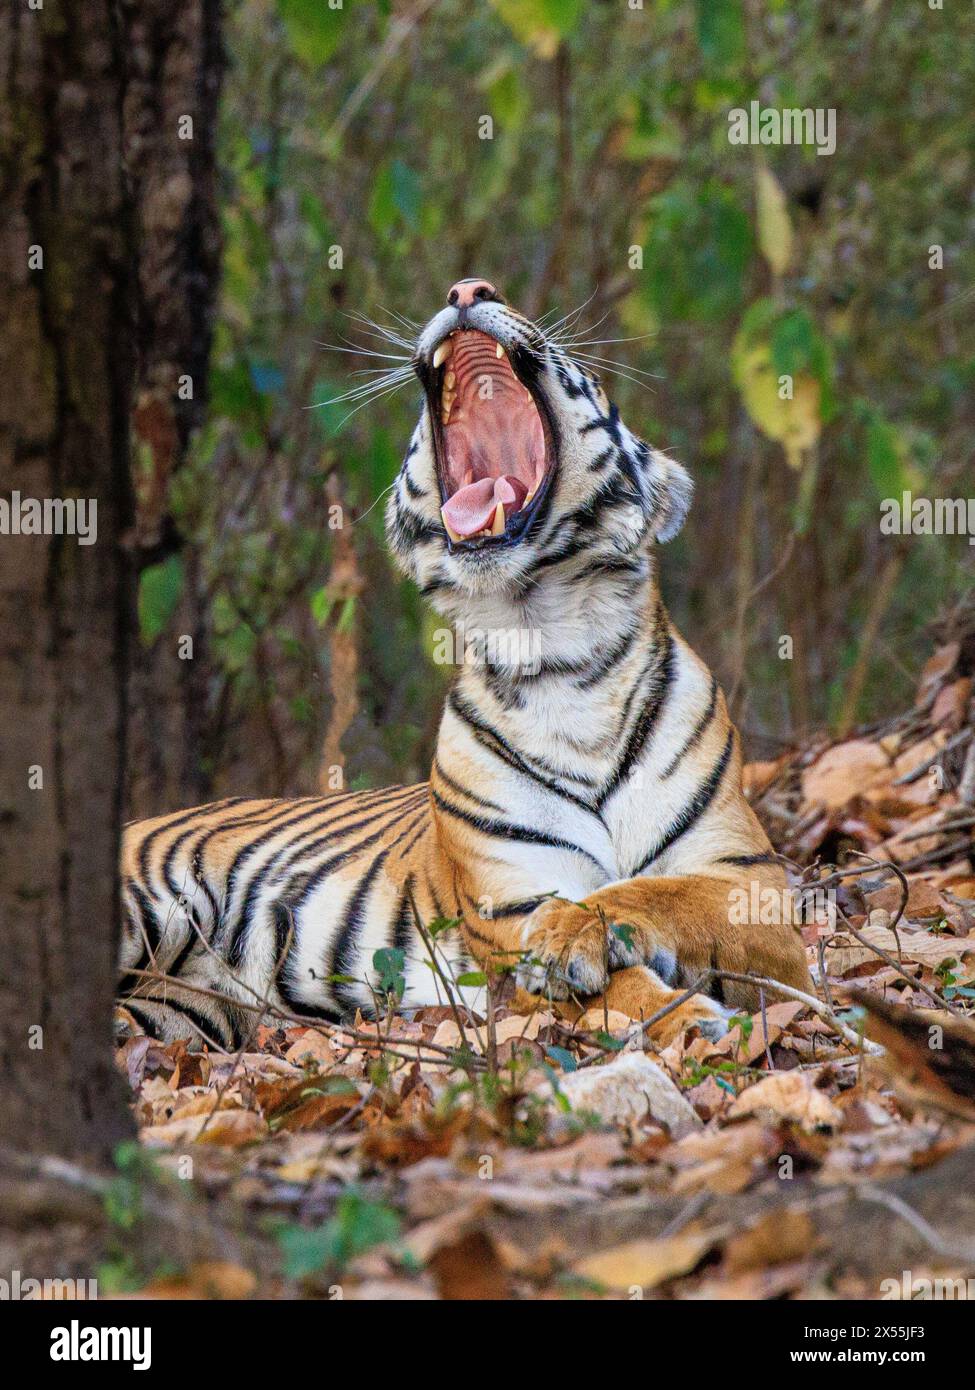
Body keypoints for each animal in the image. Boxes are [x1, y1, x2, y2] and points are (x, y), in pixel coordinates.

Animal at [118, 276, 811, 1052]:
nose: (468, 289)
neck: (553, 649)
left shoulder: (748, 883)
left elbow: (655, 890)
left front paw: (585, 936)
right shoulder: (506, 905)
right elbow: (614, 981)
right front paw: (677, 1010)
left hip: (183, 1012)